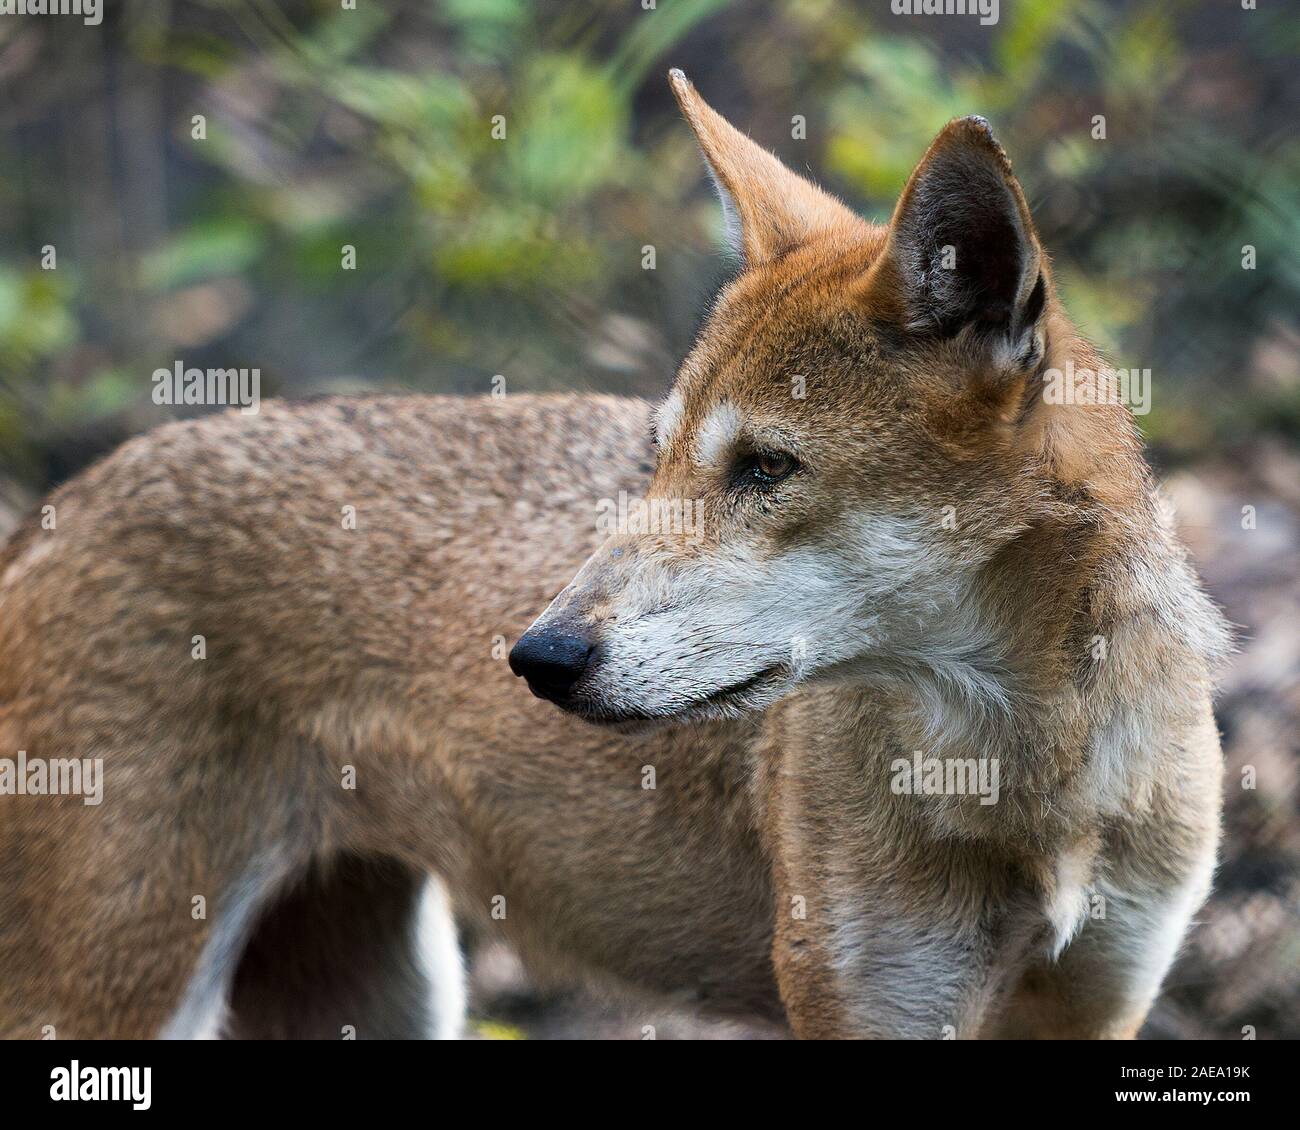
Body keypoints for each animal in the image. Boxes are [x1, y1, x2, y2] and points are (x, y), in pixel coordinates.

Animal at [0, 71, 1227, 1039]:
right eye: (661, 457)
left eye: (764, 468)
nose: (536, 657)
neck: (1028, 775)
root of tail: (64, 499)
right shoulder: (868, 1009)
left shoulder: (1094, 1004)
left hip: (387, 996)